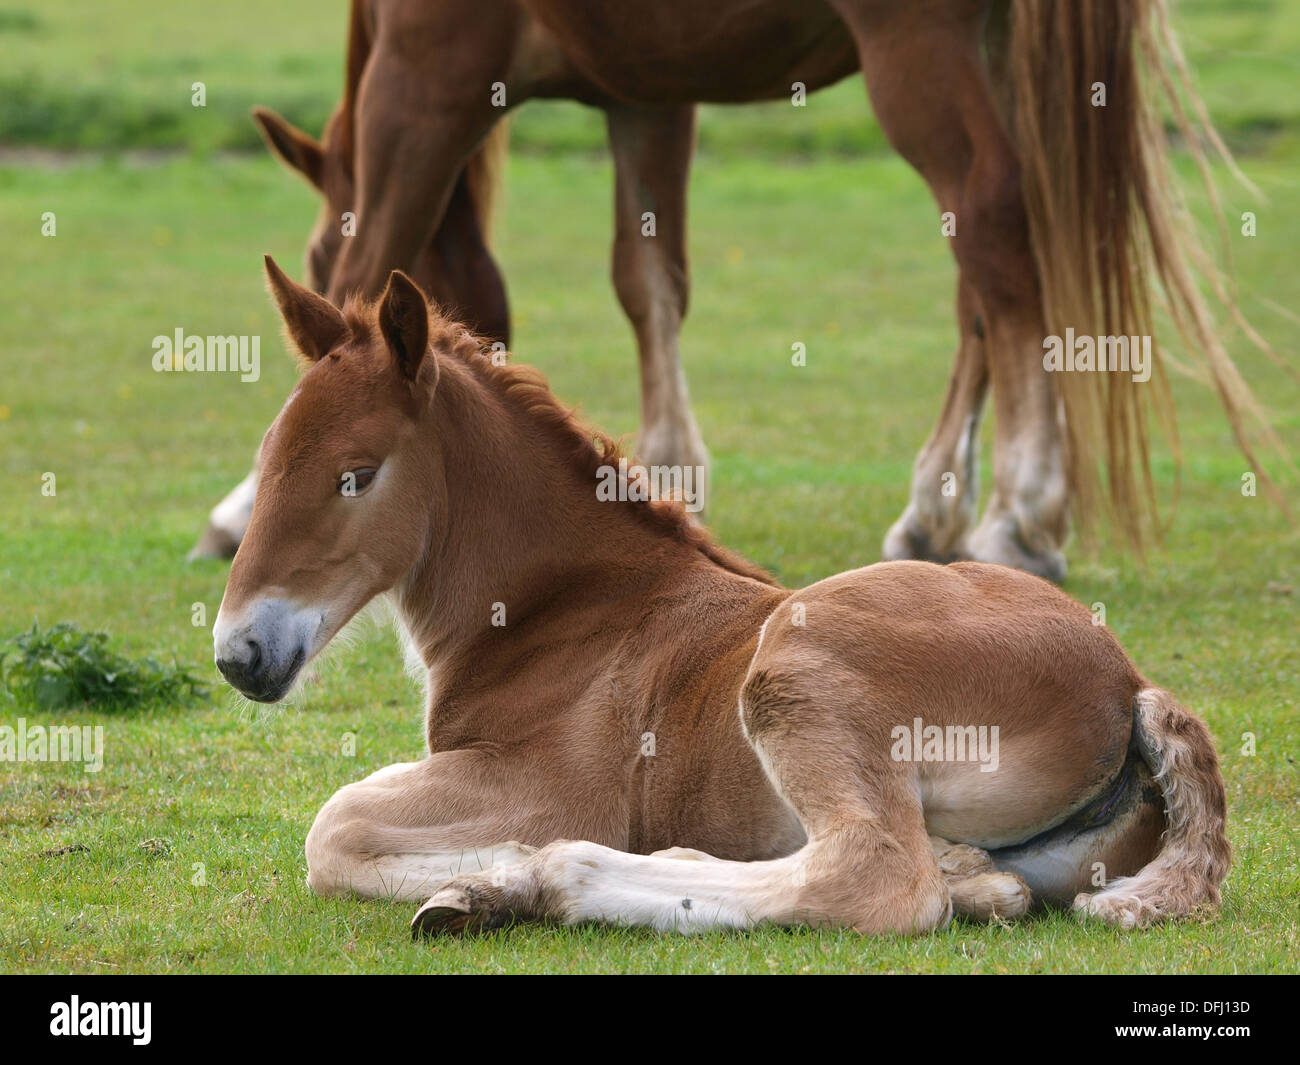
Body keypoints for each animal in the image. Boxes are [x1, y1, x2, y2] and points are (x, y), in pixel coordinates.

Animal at [192, 0, 1276, 580]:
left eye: (305, 256)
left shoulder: (424, 78)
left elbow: (369, 253)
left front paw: (250, 497)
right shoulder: (644, 91)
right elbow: (648, 277)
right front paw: (665, 469)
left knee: (994, 219)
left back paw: (1021, 509)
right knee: (986, 272)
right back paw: (934, 510)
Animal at [212, 256, 1230, 935]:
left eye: (356, 474)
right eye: (263, 460)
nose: (239, 652)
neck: (558, 608)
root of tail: (1131, 683)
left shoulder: (542, 784)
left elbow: (334, 829)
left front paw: (499, 873)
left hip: (793, 664)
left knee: (879, 879)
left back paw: (549, 881)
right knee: (965, 880)